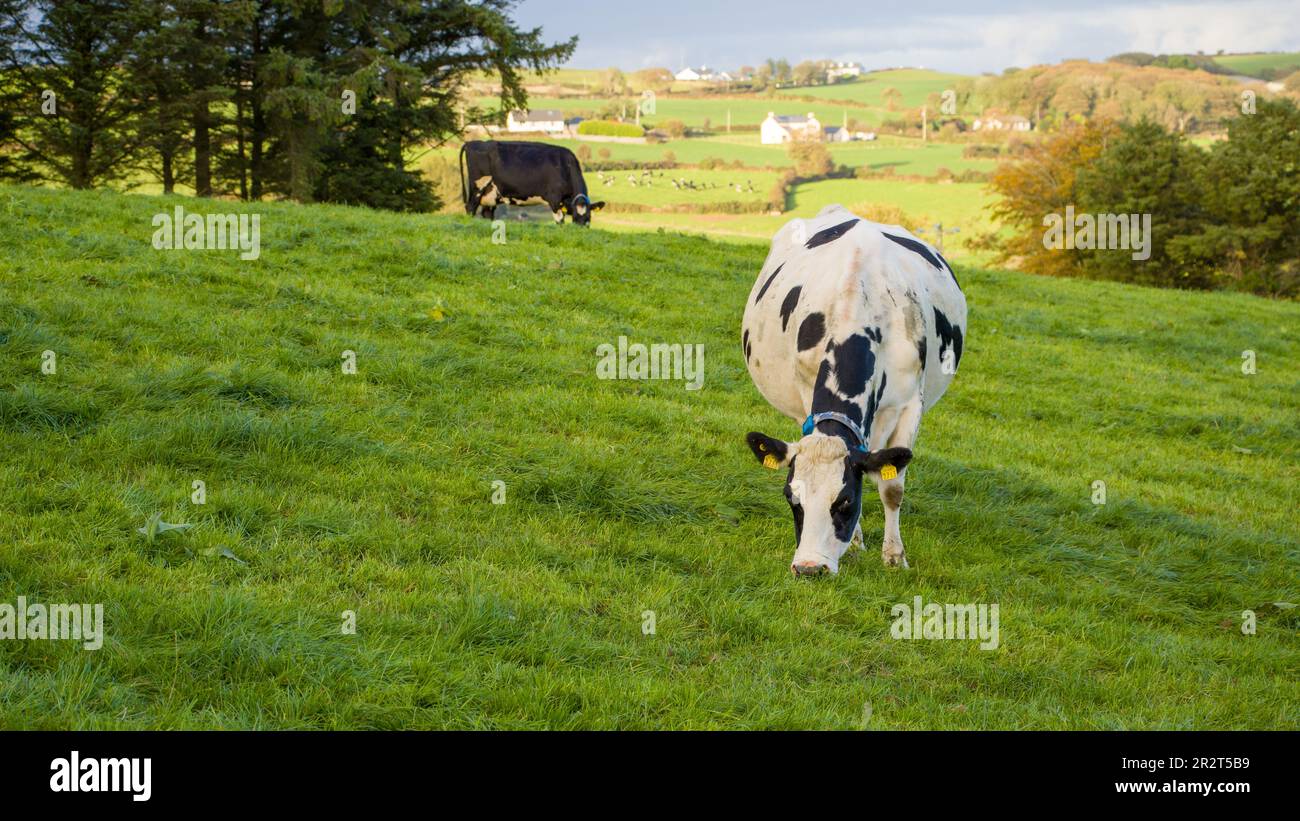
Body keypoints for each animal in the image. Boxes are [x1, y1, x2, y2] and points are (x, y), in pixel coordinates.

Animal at [459, 140, 605, 226]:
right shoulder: (554, 199)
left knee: (487, 213)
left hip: (492, 193)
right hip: (478, 186)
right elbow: (560, 221)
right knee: (470, 207)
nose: (580, 229)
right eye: (574, 217)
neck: (566, 166)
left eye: (588, 218)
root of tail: (472, 142)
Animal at [741, 205, 967, 576]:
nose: (809, 568)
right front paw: (858, 542)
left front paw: (895, 557)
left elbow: (892, 487)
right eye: (791, 498)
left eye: (845, 500)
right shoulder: (808, 396)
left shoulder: (909, 405)